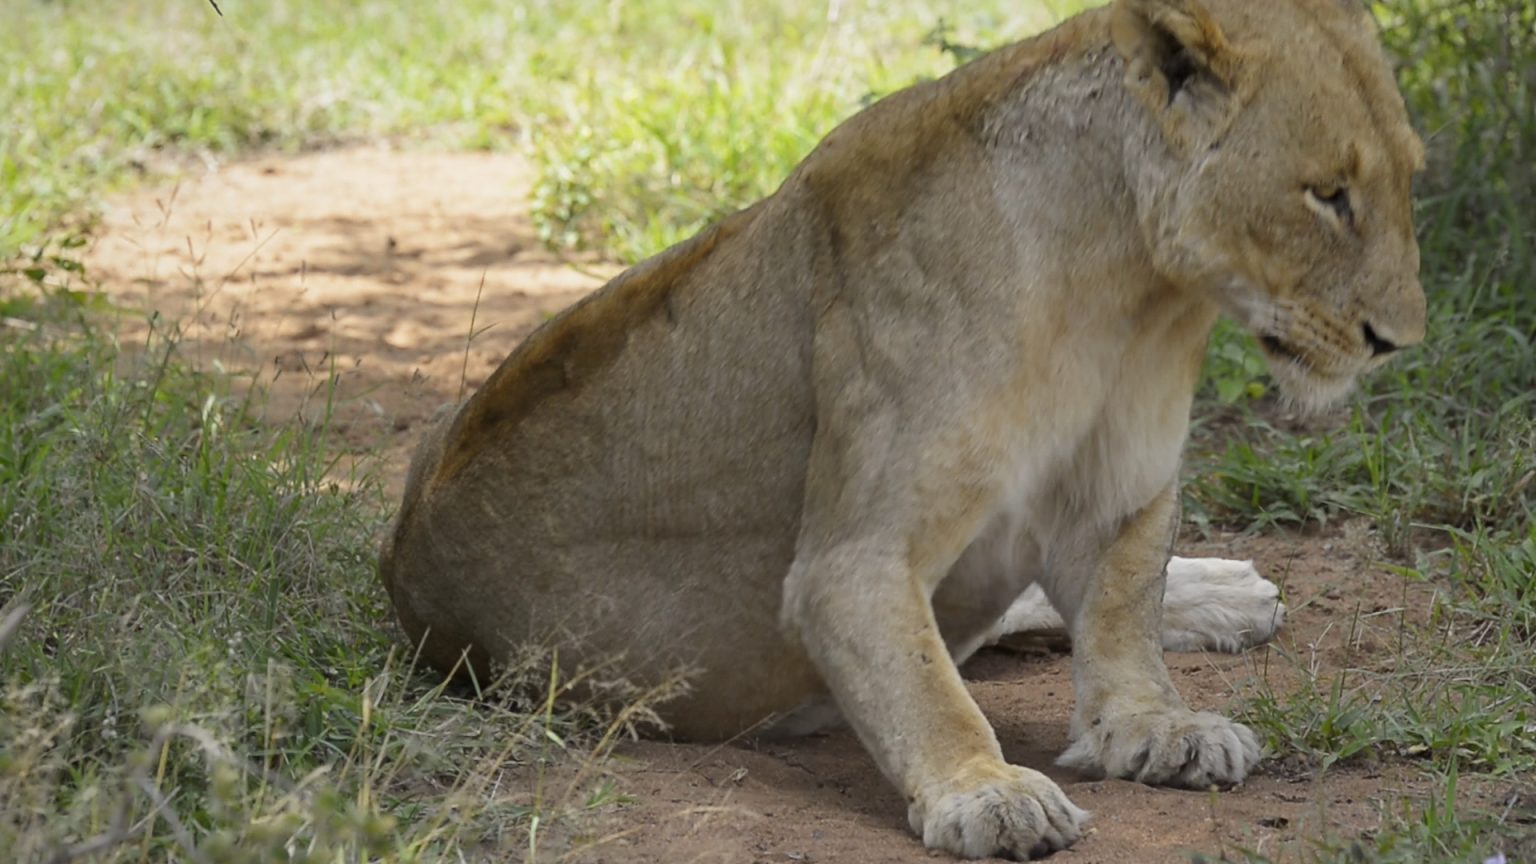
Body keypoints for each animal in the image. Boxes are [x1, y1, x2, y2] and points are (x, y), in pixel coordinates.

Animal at [379, 0, 1425, 857]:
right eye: (1328, 194)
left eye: (1408, 179)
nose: (1398, 342)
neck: (1130, 291)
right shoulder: (854, 560)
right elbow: (929, 688)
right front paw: (989, 794)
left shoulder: (1115, 493)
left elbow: (1122, 614)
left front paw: (1158, 727)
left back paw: (1231, 595)